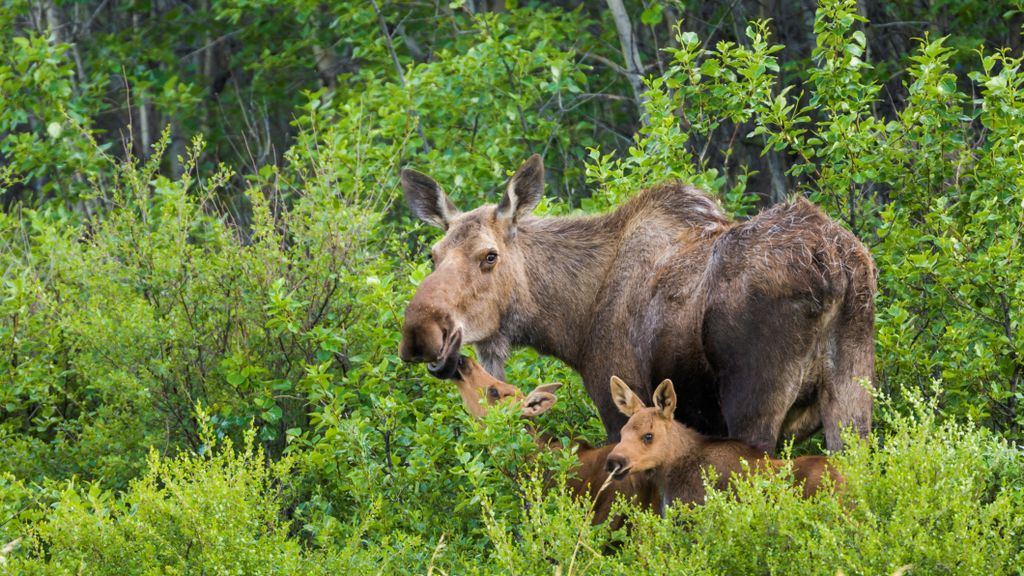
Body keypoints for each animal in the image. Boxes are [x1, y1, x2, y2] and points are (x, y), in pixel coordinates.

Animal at [398, 154, 875, 453]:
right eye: (433, 255)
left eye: (489, 256)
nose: (421, 333)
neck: (572, 323)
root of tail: (837, 269)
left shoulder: (616, 405)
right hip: (852, 396)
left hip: (753, 402)